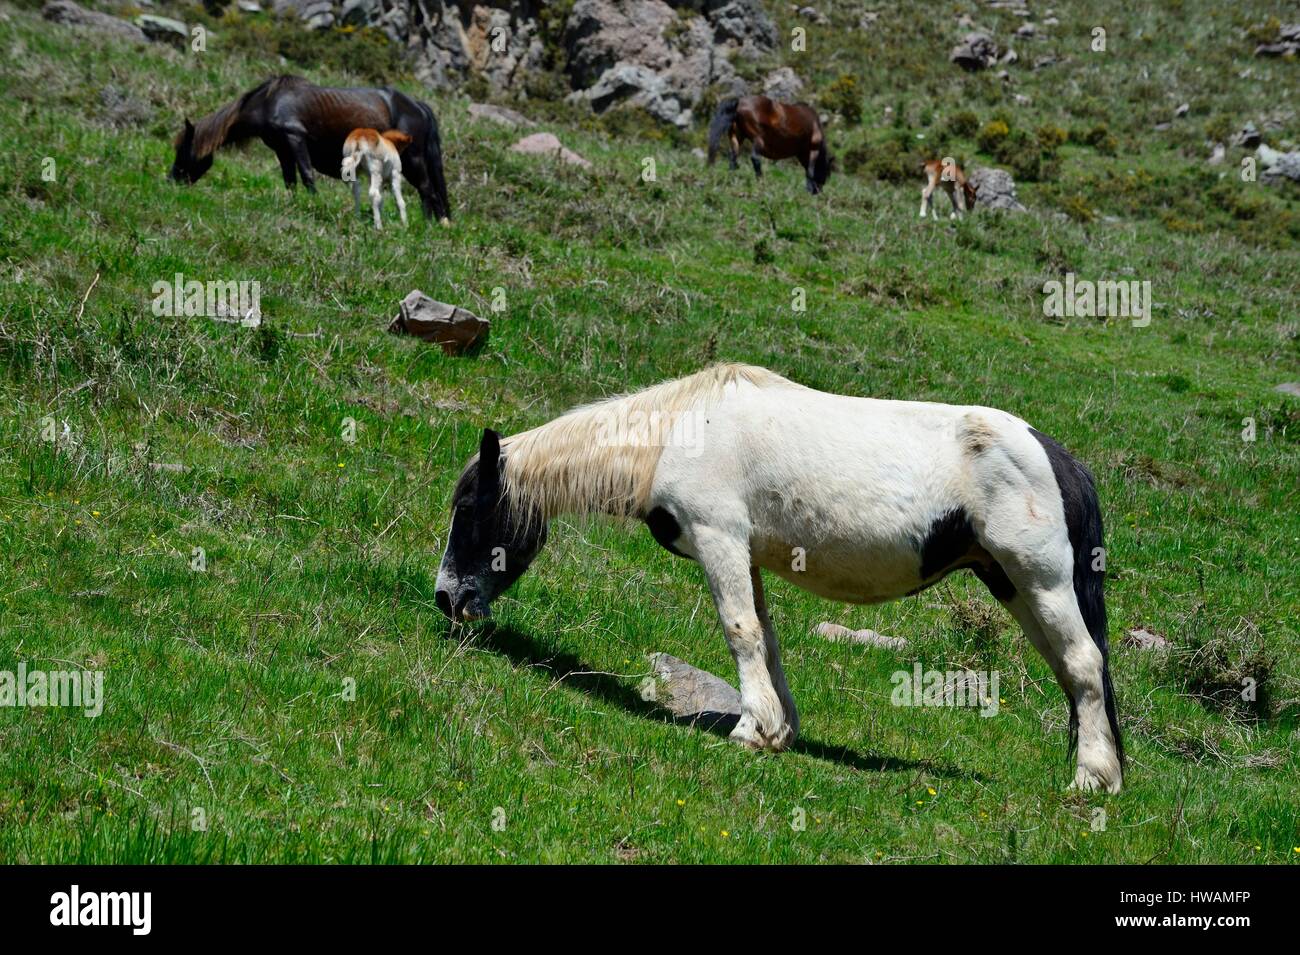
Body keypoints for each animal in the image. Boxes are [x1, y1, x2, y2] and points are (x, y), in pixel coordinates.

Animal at [170, 75, 451, 223]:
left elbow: (307, 176)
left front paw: (315, 204)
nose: (171, 179)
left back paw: (431, 224)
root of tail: (417, 105)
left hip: (413, 159)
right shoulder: (282, 149)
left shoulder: (295, 138)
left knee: (427, 190)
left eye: (182, 150)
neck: (268, 102)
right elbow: (290, 181)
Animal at [435, 364, 1125, 793]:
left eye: (469, 508)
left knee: (1084, 665)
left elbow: (738, 631)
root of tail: (1059, 457)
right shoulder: (746, 555)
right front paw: (777, 730)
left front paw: (749, 731)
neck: (679, 433)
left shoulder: (718, 539)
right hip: (1013, 585)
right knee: (1071, 672)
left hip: (1040, 581)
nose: (446, 597)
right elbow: (764, 639)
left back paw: (1094, 779)